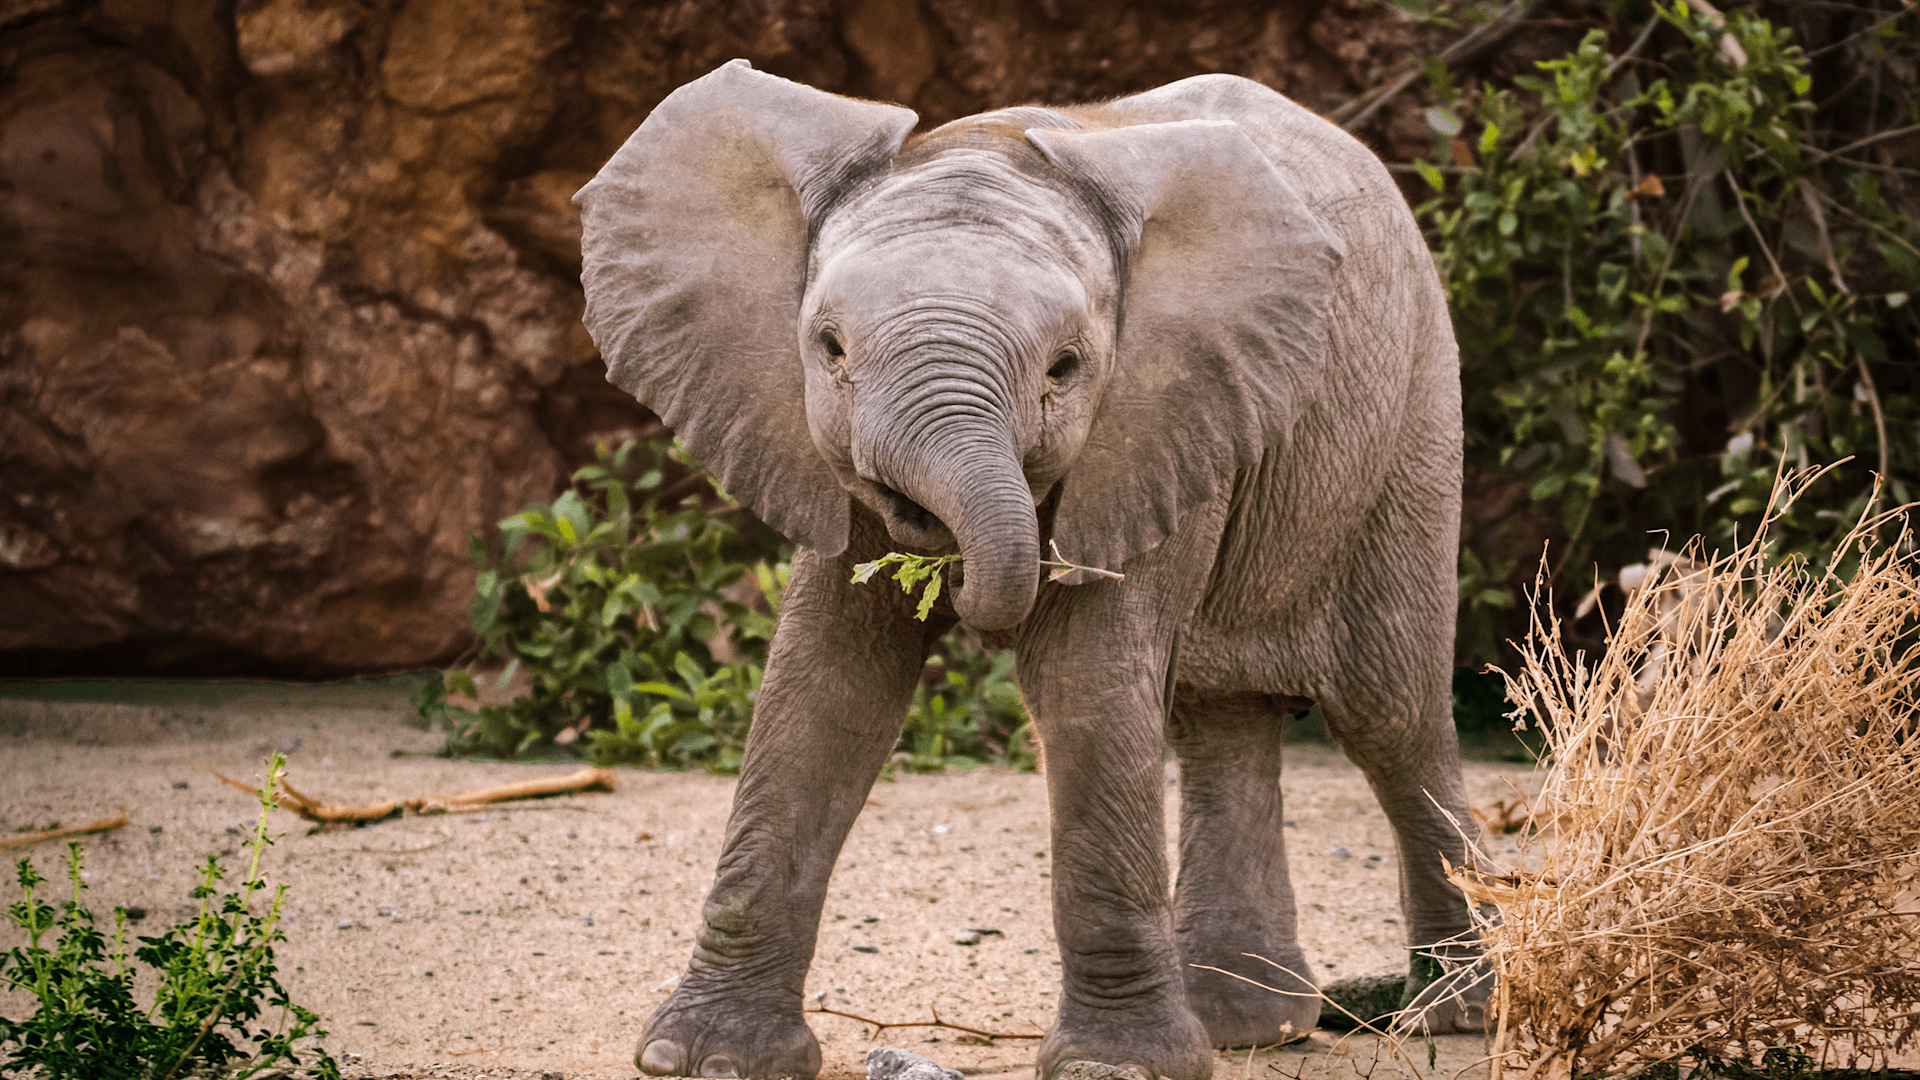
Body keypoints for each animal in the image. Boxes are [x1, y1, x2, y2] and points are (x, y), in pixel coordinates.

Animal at [574, 59, 1484, 1080]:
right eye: (830, 350)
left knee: (1392, 714)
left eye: (1065, 367)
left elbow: (1082, 677)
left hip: (1414, 410)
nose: (957, 570)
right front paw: (699, 1059)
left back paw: (1454, 1012)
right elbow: (826, 681)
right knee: (1220, 715)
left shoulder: (1161, 409)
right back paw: (1246, 1028)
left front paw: (1115, 1068)